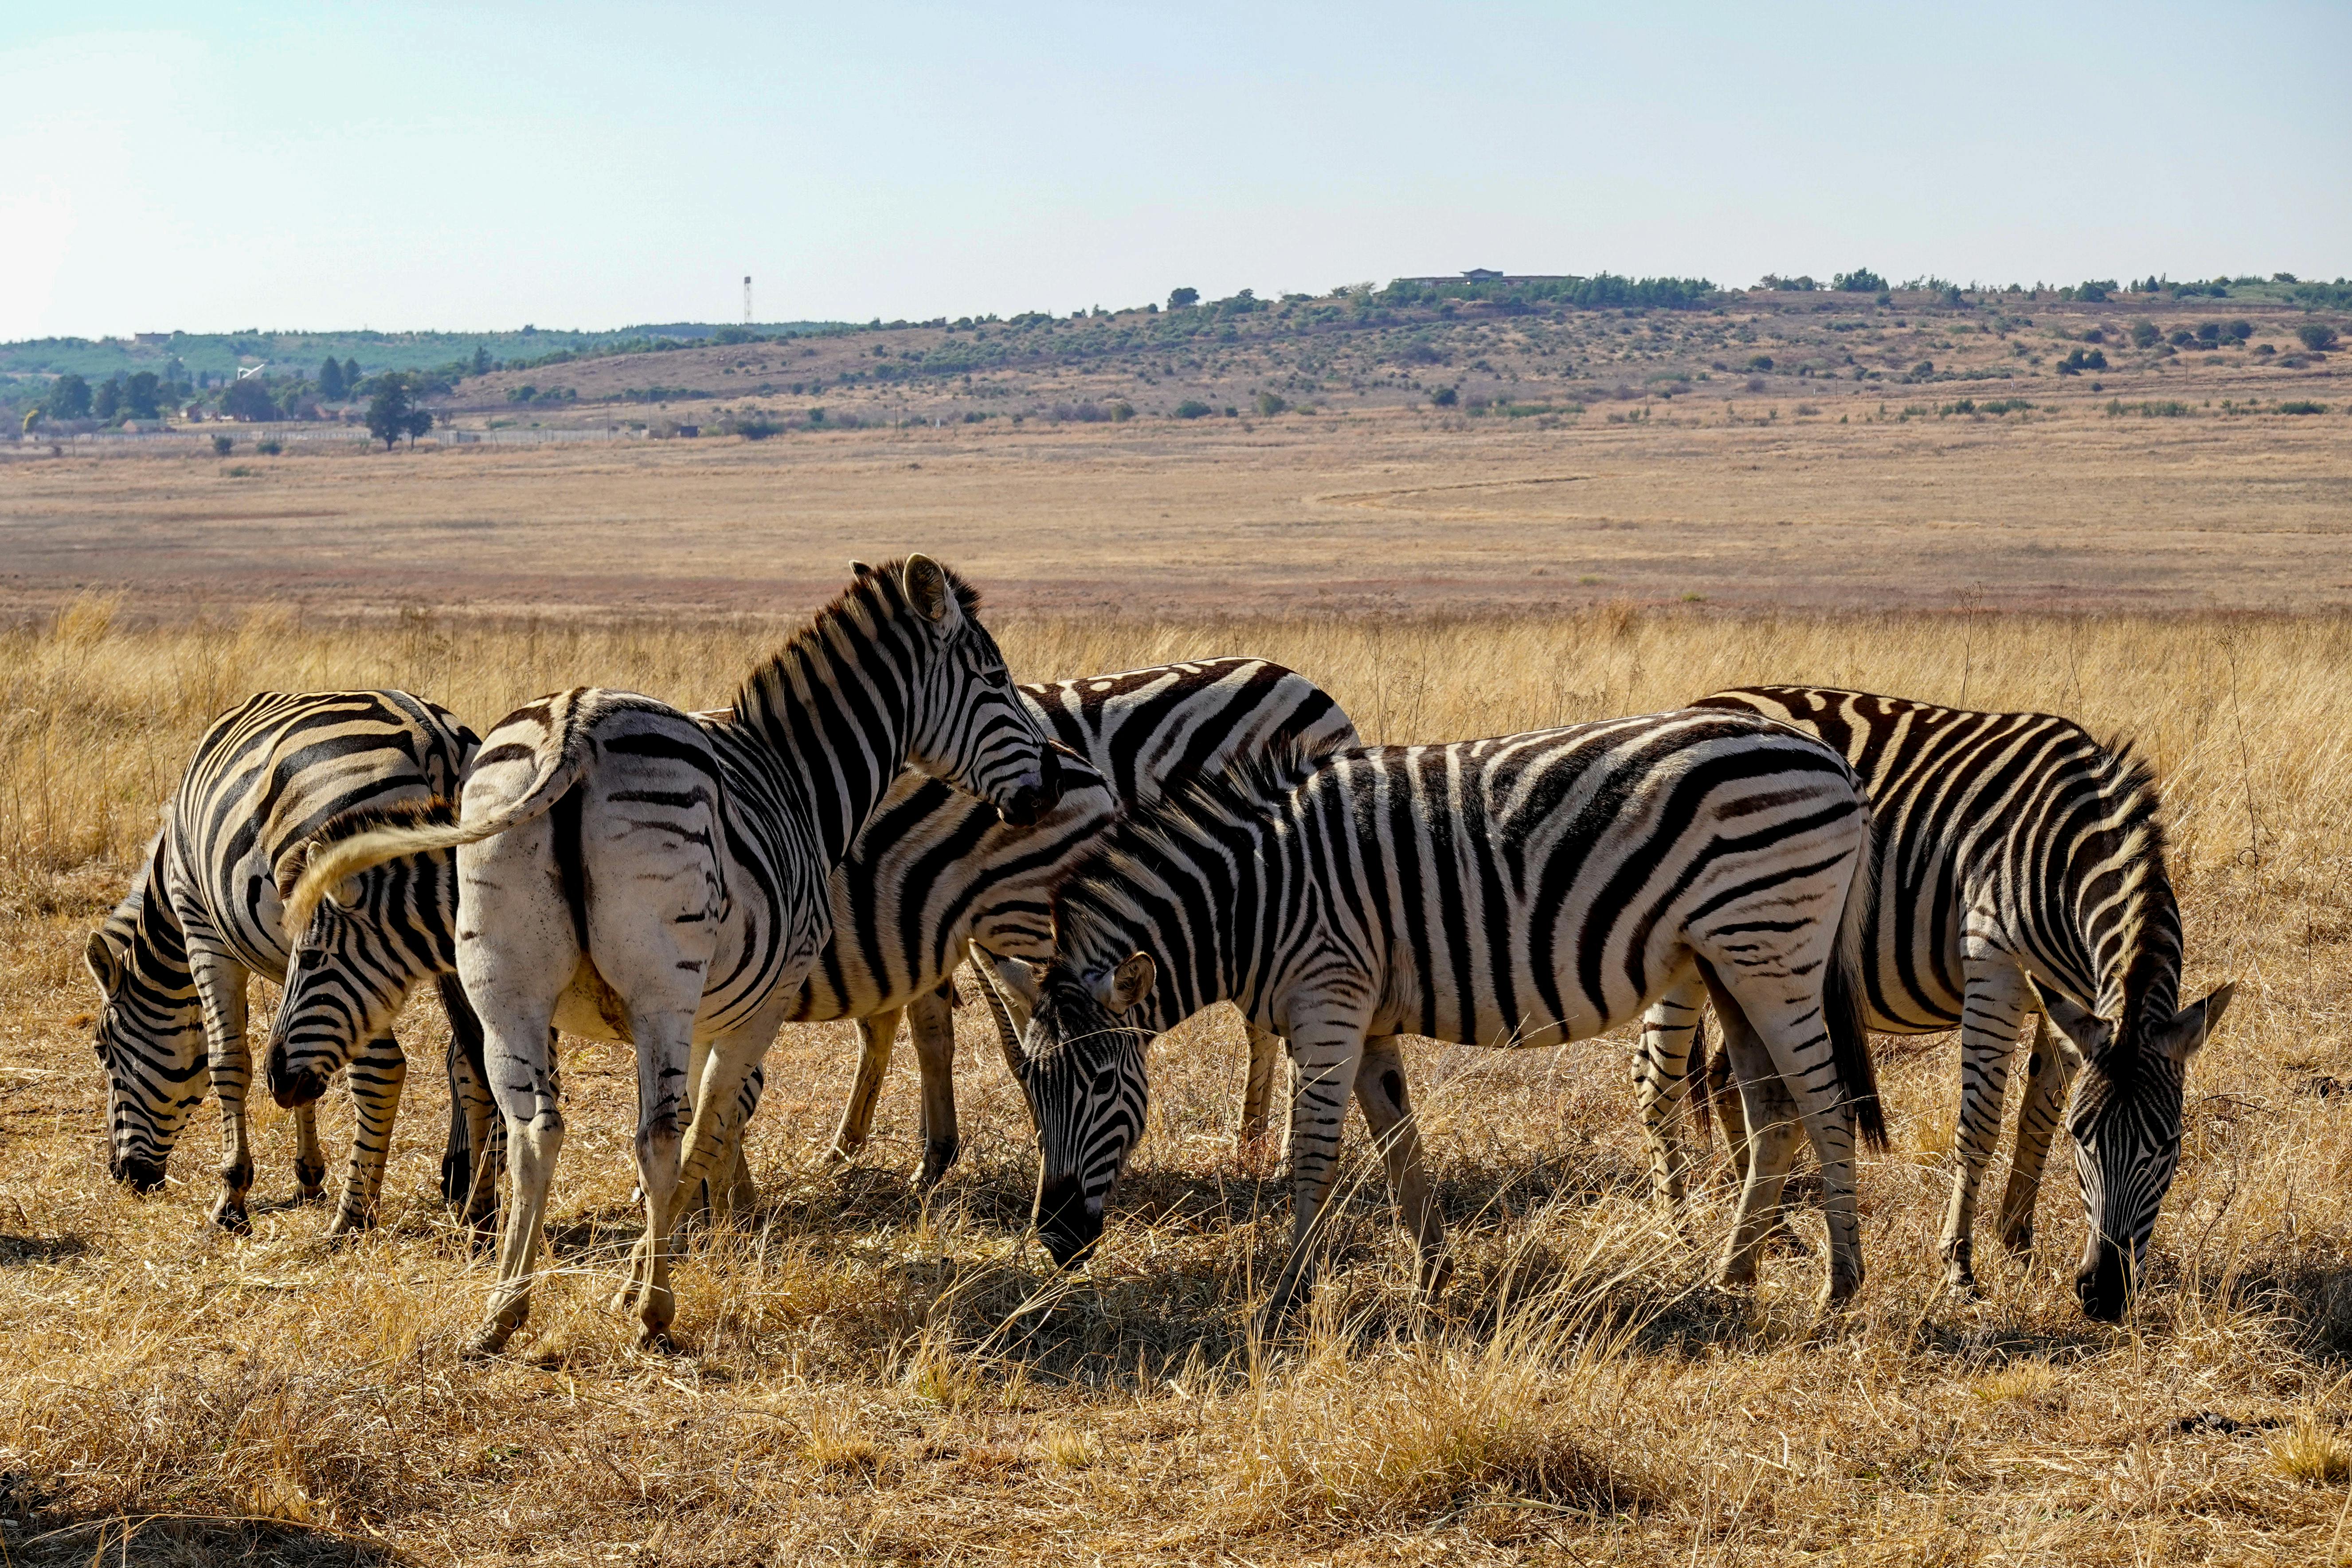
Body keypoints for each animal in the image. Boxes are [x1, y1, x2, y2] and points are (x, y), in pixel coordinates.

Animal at [81, 690, 486, 1233]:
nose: (123, 1175)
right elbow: (297, 1062)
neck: (169, 885)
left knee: (381, 1068)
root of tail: (433, 738)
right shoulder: (294, 959)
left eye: (104, 1051)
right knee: (471, 1054)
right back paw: (473, 1194)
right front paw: (309, 1177)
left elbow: (230, 1061)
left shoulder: (202, 931)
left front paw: (231, 1201)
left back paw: (354, 1217)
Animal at [286, 557, 1065, 1352]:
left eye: (309, 958)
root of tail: (574, 728)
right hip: (666, 980)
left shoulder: (694, 1011)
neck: (799, 783)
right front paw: (648, 1273)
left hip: (510, 985)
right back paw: (656, 1315)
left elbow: (704, 1131)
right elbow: (704, 1130)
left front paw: (688, 1236)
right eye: (995, 677)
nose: (1054, 783)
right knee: (659, 1134)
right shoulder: (755, 1001)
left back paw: (503, 1311)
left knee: (535, 1131)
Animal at [1000, 709, 1886, 1325]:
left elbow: (1316, 1157)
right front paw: (1432, 1278)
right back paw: (1735, 1274)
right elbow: (1401, 1145)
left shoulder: (1327, 1002)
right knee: (1774, 1111)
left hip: (1771, 949)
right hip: (1724, 963)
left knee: (1825, 1102)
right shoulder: (1366, 1019)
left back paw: (1840, 1285)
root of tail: (1826, 756)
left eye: (1103, 1085)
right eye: (1033, 1092)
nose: (1056, 1240)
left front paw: (1289, 1296)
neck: (1250, 901)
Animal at [1630, 687, 2233, 1321]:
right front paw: (1959, 1268)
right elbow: (1982, 1124)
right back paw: (1679, 1234)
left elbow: (2036, 1115)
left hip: (1761, 964)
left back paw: (1777, 1234)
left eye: (2168, 1146)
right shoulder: (1994, 969)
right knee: (1657, 1080)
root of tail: (1705, 700)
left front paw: (2017, 1243)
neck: (2068, 853)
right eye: (2084, 1141)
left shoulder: (2073, 1002)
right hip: (1695, 950)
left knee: (1726, 1081)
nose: (2103, 1296)